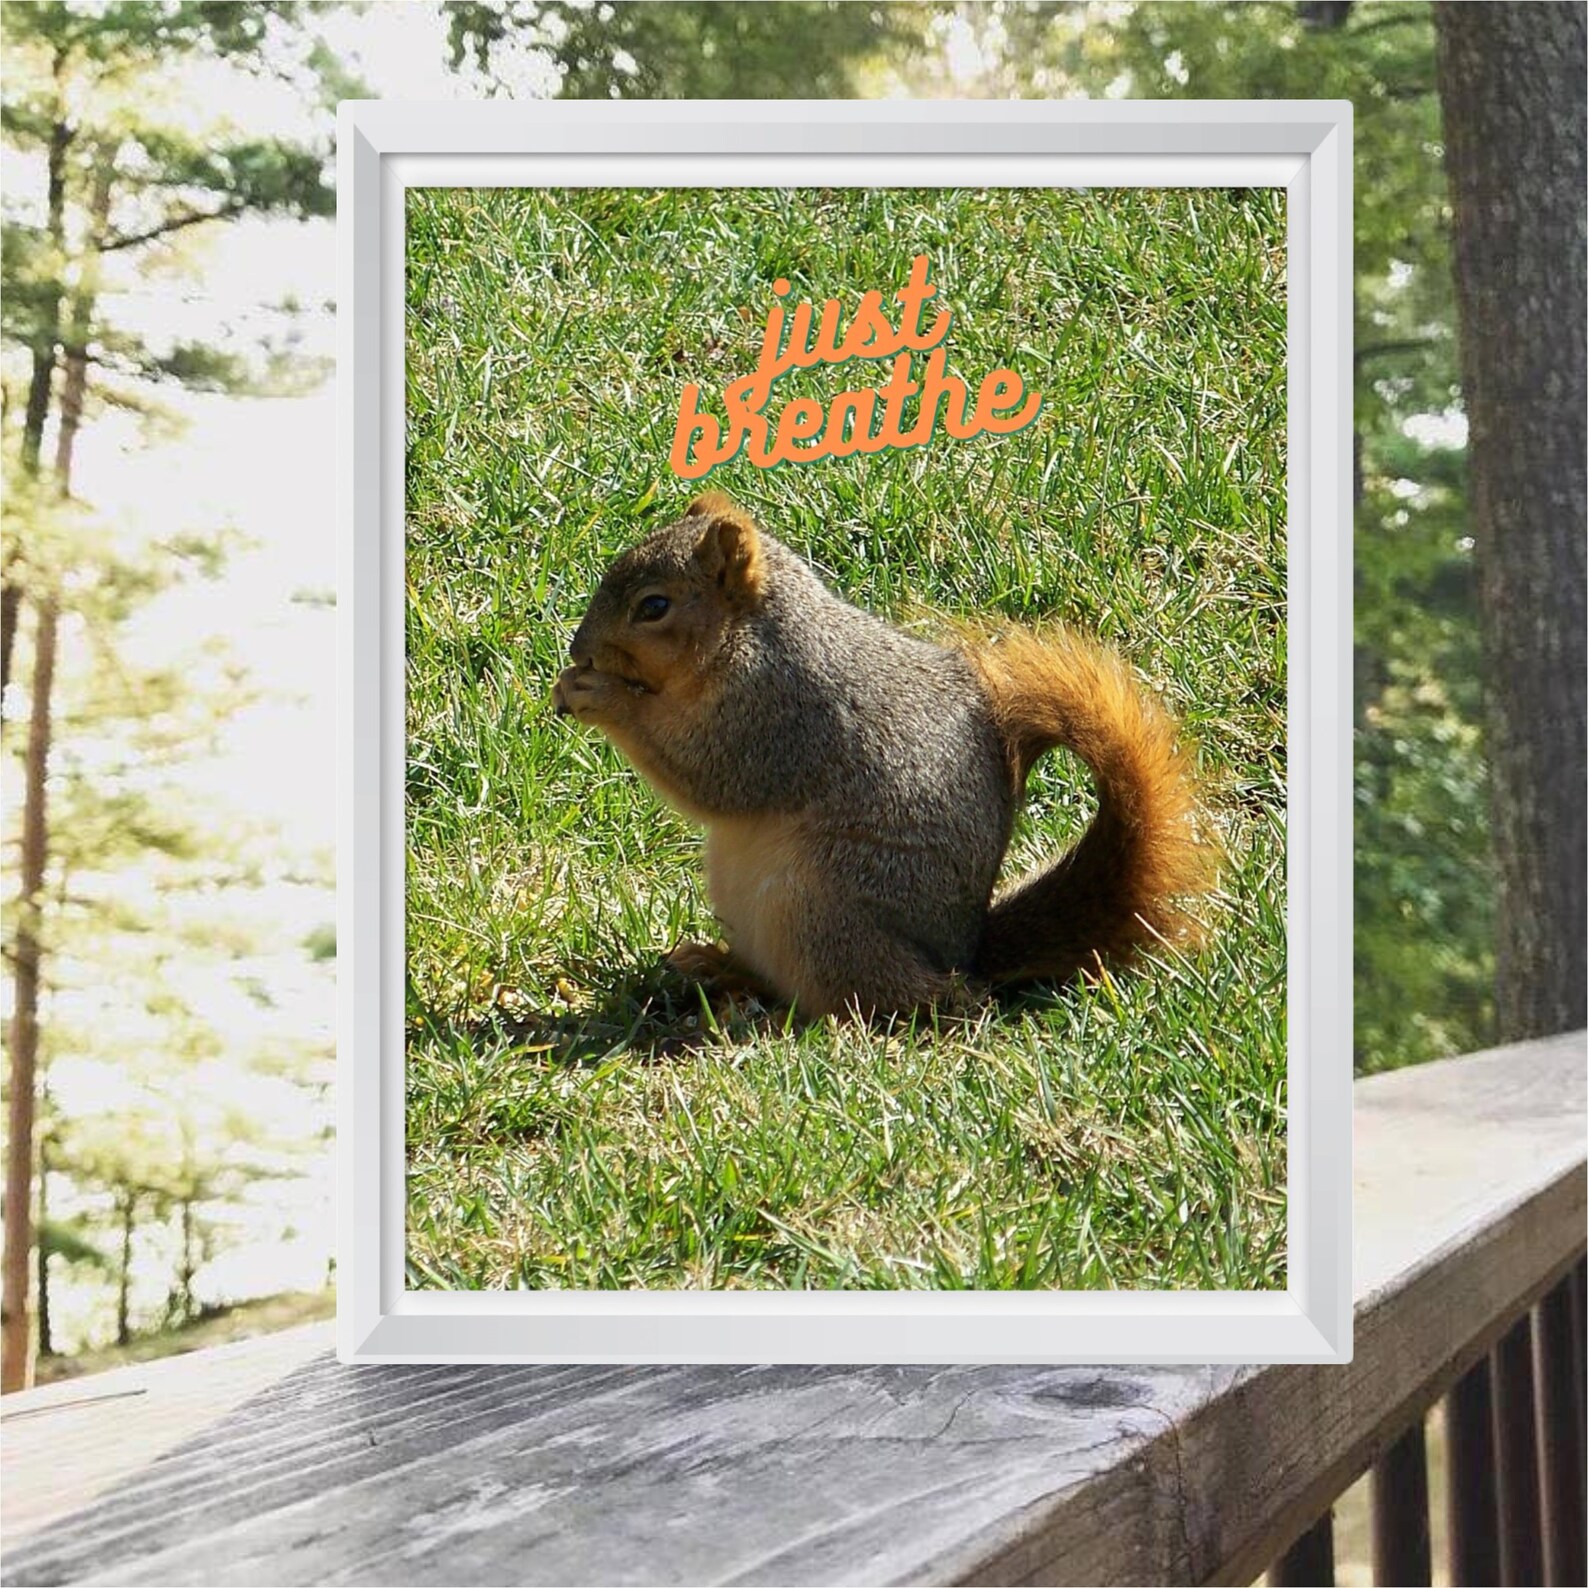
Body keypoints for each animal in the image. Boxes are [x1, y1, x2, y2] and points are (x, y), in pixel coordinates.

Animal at [552, 492, 1211, 1019]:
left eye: (653, 607)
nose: (580, 650)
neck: (754, 634)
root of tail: (960, 957)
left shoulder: (776, 714)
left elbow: (711, 776)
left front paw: (602, 697)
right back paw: (715, 966)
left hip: (822, 910)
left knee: (879, 1000)